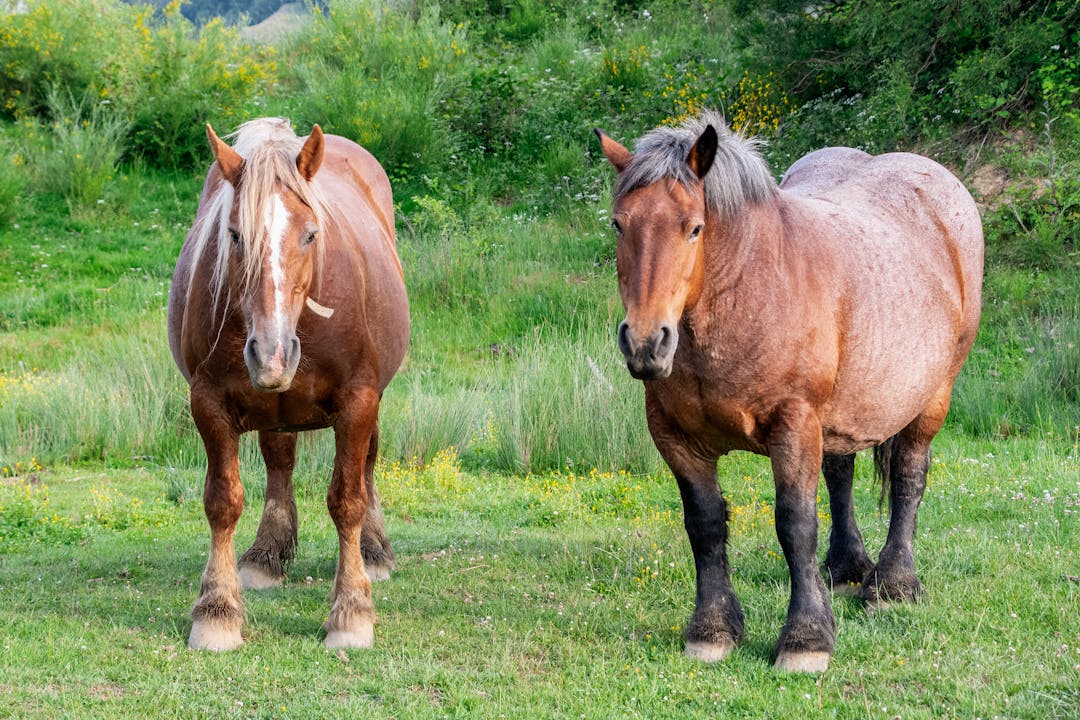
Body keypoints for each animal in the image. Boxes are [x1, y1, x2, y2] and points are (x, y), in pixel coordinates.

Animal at [167, 118, 409, 650]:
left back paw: (375, 552)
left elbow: (347, 500)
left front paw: (351, 612)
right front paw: (217, 612)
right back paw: (267, 554)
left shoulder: (359, 401)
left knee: (368, 464)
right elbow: (223, 502)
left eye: (311, 234)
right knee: (279, 463)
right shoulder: (208, 403)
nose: (271, 352)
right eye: (234, 234)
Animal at [595, 110, 983, 672]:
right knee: (840, 474)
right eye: (618, 224)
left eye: (694, 228)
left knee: (909, 477)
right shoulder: (675, 437)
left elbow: (795, 524)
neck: (750, 291)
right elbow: (705, 525)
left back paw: (893, 585)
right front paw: (712, 631)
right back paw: (844, 568)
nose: (646, 342)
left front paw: (805, 639)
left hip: (933, 397)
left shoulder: (794, 425)